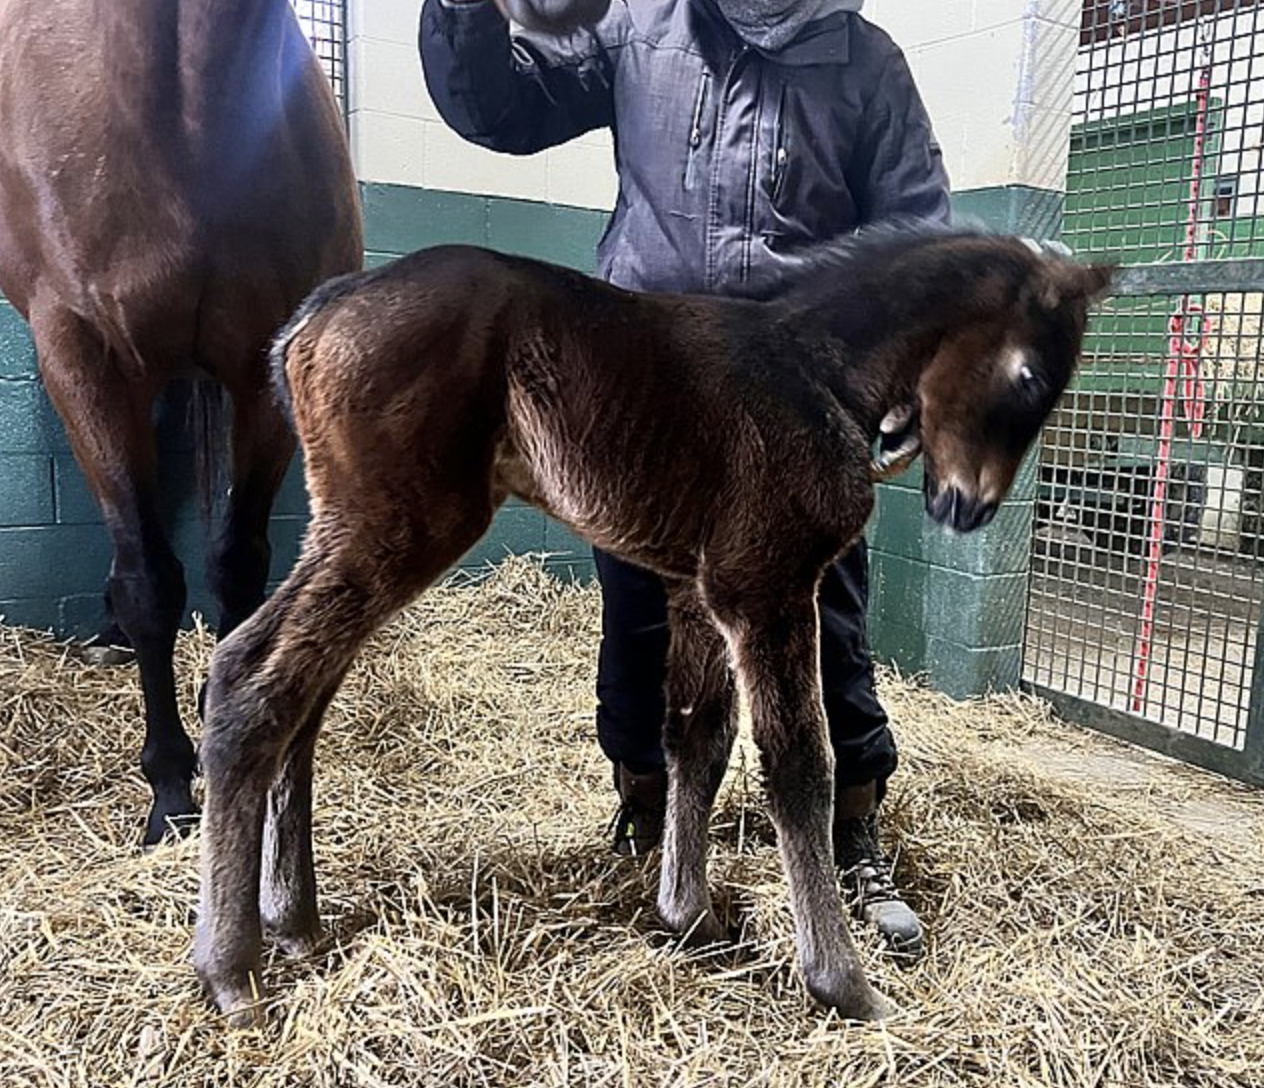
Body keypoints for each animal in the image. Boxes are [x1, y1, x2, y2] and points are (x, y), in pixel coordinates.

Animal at [192, 229, 1112, 1024]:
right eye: (1027, 378)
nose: (968, 507)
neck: (818, 370)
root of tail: (318, 313)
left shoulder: (695, 587)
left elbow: (696, 737)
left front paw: (688, 916)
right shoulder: (765, 584)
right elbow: (797, 763)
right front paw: (843, 983)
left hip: (357, 529)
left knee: (303, 697)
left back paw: (295, 924)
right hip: (396, 526)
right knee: (247, 674)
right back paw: (231, 971)